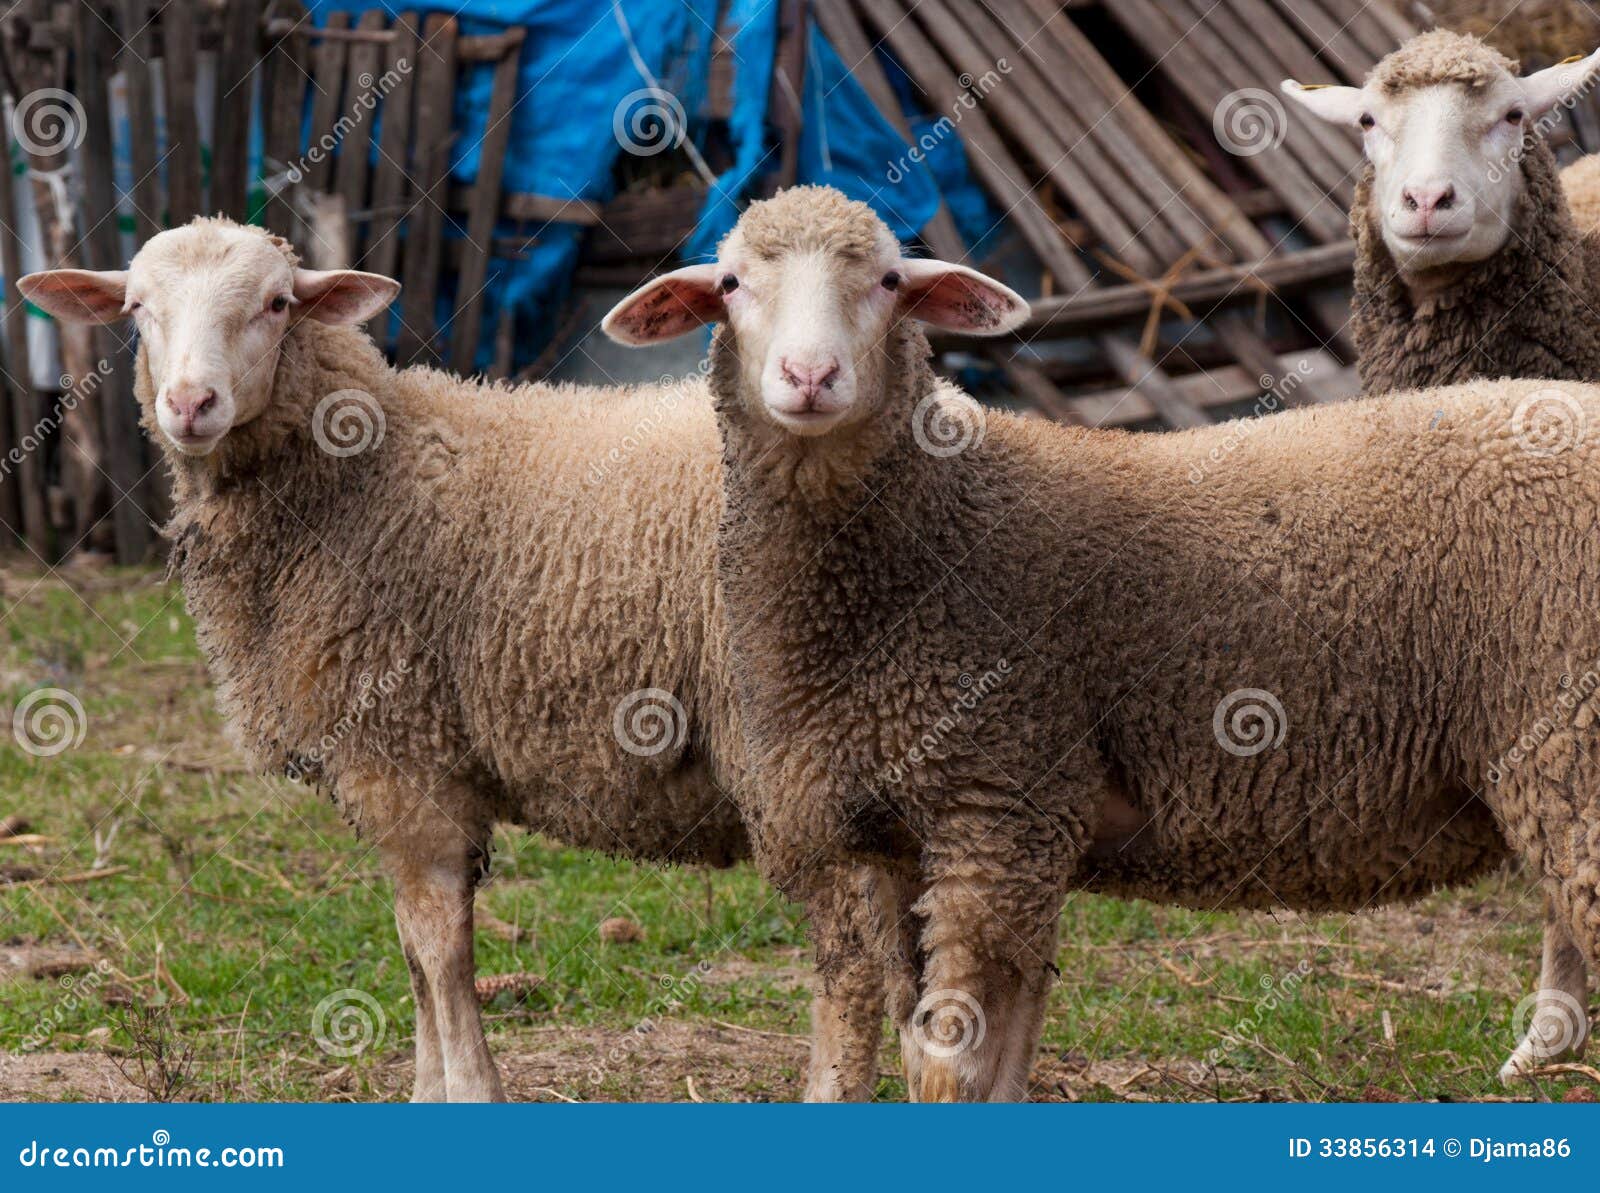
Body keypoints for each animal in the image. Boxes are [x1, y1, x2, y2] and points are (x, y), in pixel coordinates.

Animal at [16, 219, 786, 1103]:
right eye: (139, 307)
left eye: (276, 304)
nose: (190, 404)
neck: (363, 477)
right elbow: (414, 953)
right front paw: (426, 1090)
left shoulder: (405, 756)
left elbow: (439, 946)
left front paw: (470, 1091)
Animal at [605, 185, 1600, 1101]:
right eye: (731, 283)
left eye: (888, 281)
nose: (809, 375)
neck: (937, 530)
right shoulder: (911, 835)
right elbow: (981, 1037)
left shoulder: (995, 804)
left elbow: (949, 1057)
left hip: (1567, 737)